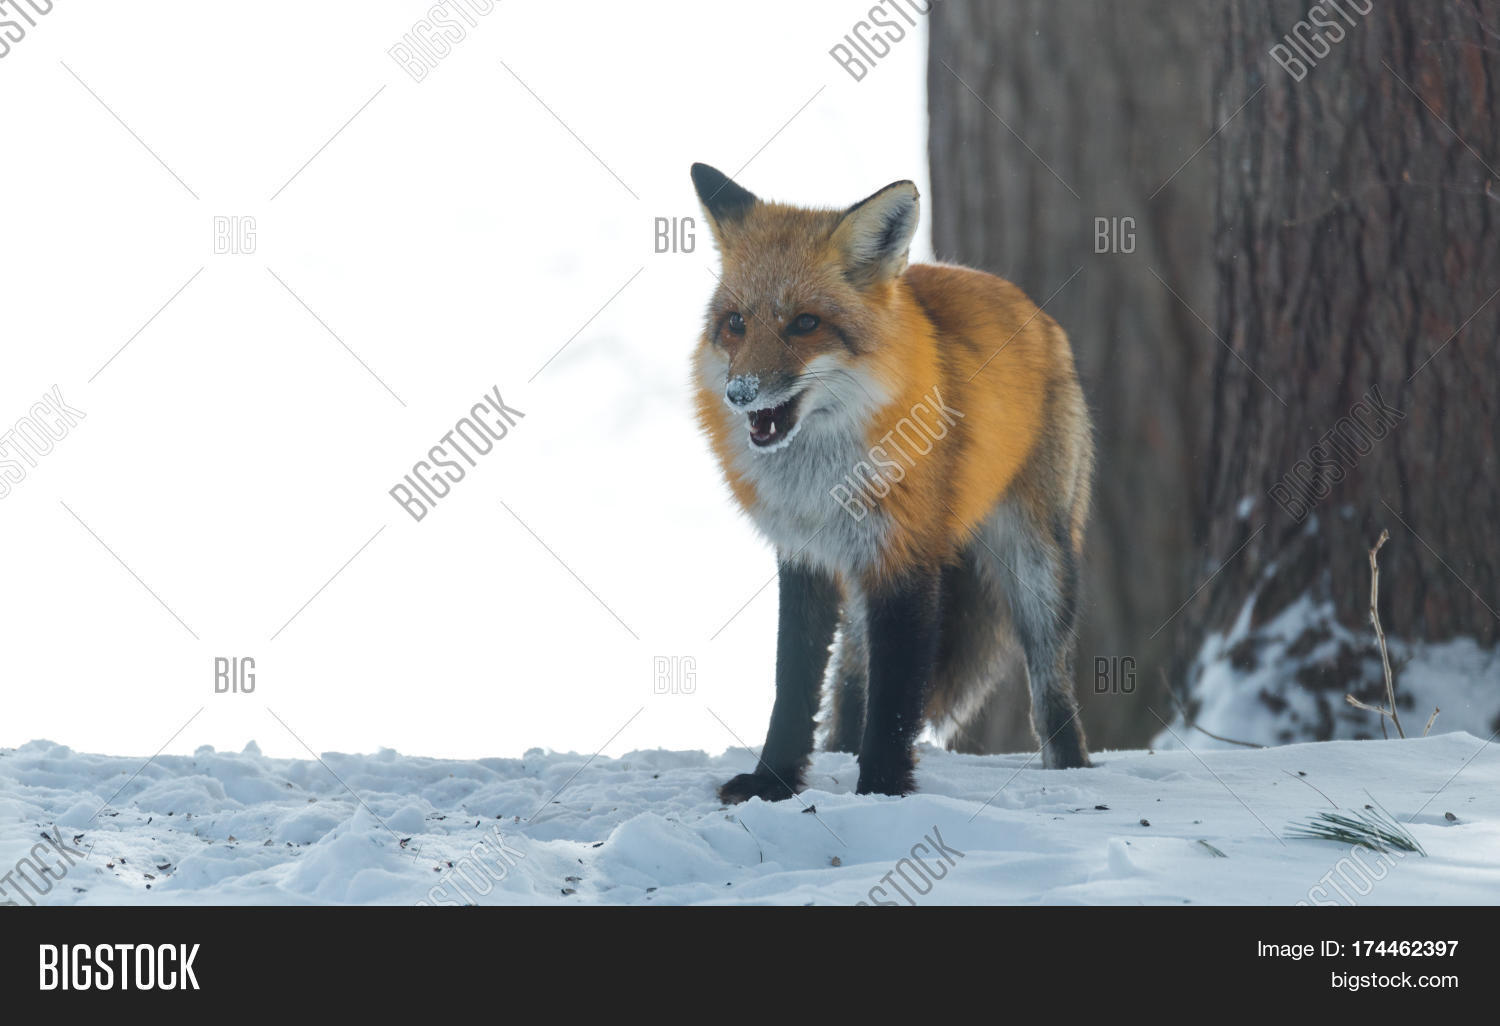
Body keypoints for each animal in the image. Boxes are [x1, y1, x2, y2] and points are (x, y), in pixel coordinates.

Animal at [690, 163, 1094, 801]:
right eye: (735, 324)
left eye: (805, 324)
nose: (740, 393)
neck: (821, 484)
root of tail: (1026, 303)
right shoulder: (806, 556)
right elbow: (793, 685)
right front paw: (774, 781)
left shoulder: (907, 558)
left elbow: (898, 697)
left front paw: (880, 788)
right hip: (862, 582)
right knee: (851, 682)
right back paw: (839, 749)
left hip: (1039, 566)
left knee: (1051, 695)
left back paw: (1073, 773)